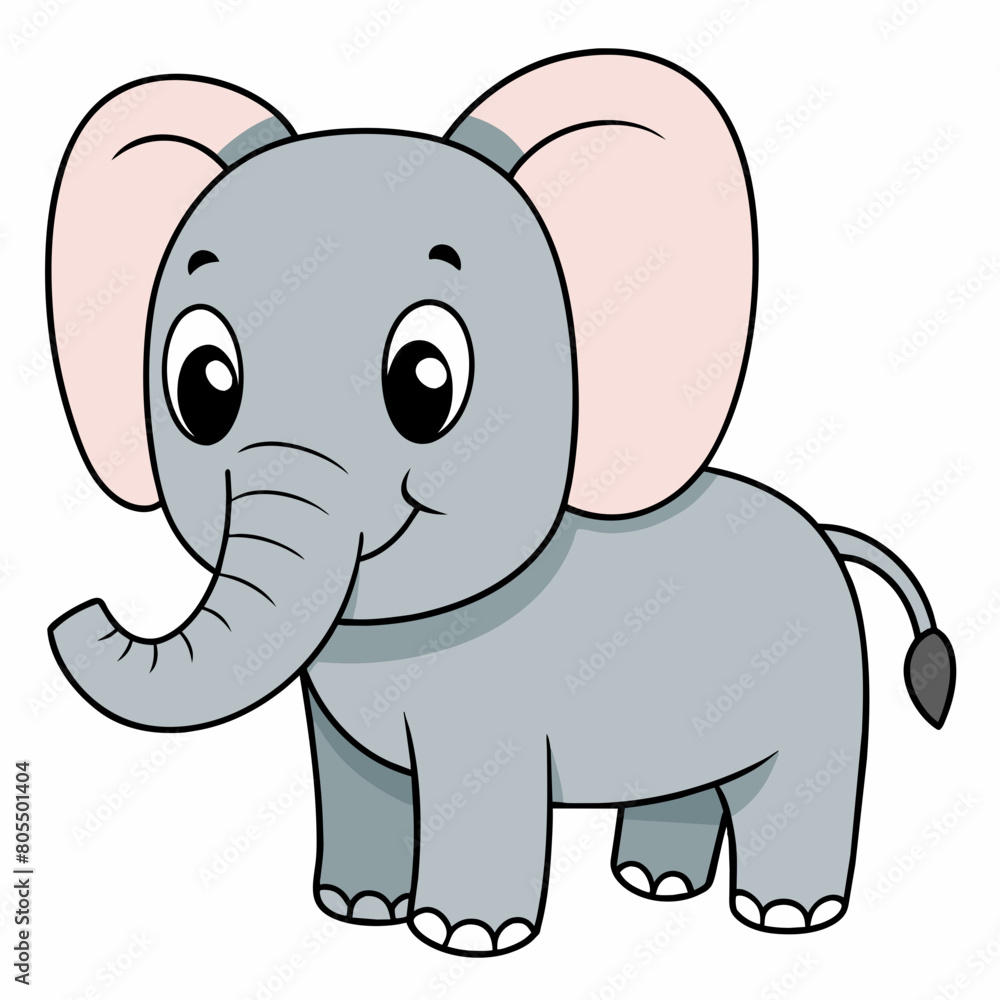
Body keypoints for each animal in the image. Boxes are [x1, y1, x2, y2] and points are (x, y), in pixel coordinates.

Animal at [46, 50, 955, 956]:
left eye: (425, 383)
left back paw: (785, 915)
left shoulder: (495, 713)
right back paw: (655, 884)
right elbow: (358, 778)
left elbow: (478, 789)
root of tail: (826, 534)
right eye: (202, 387)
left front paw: (464, 936)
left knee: (796, 786)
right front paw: (357, 908)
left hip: (825, 679)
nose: (76, 614)